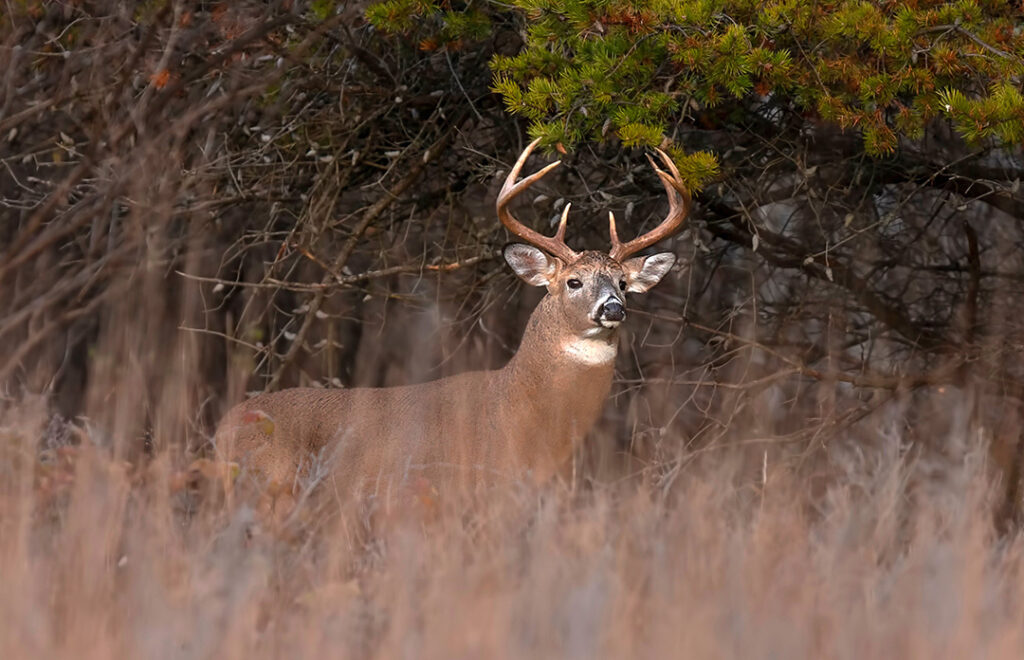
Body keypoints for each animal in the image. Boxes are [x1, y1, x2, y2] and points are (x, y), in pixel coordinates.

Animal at [213, 139, 691, 515]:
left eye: (624, 283)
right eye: (573, 281)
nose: (613, 307)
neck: (520, 412)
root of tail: (220, 432)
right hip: (267, 492)